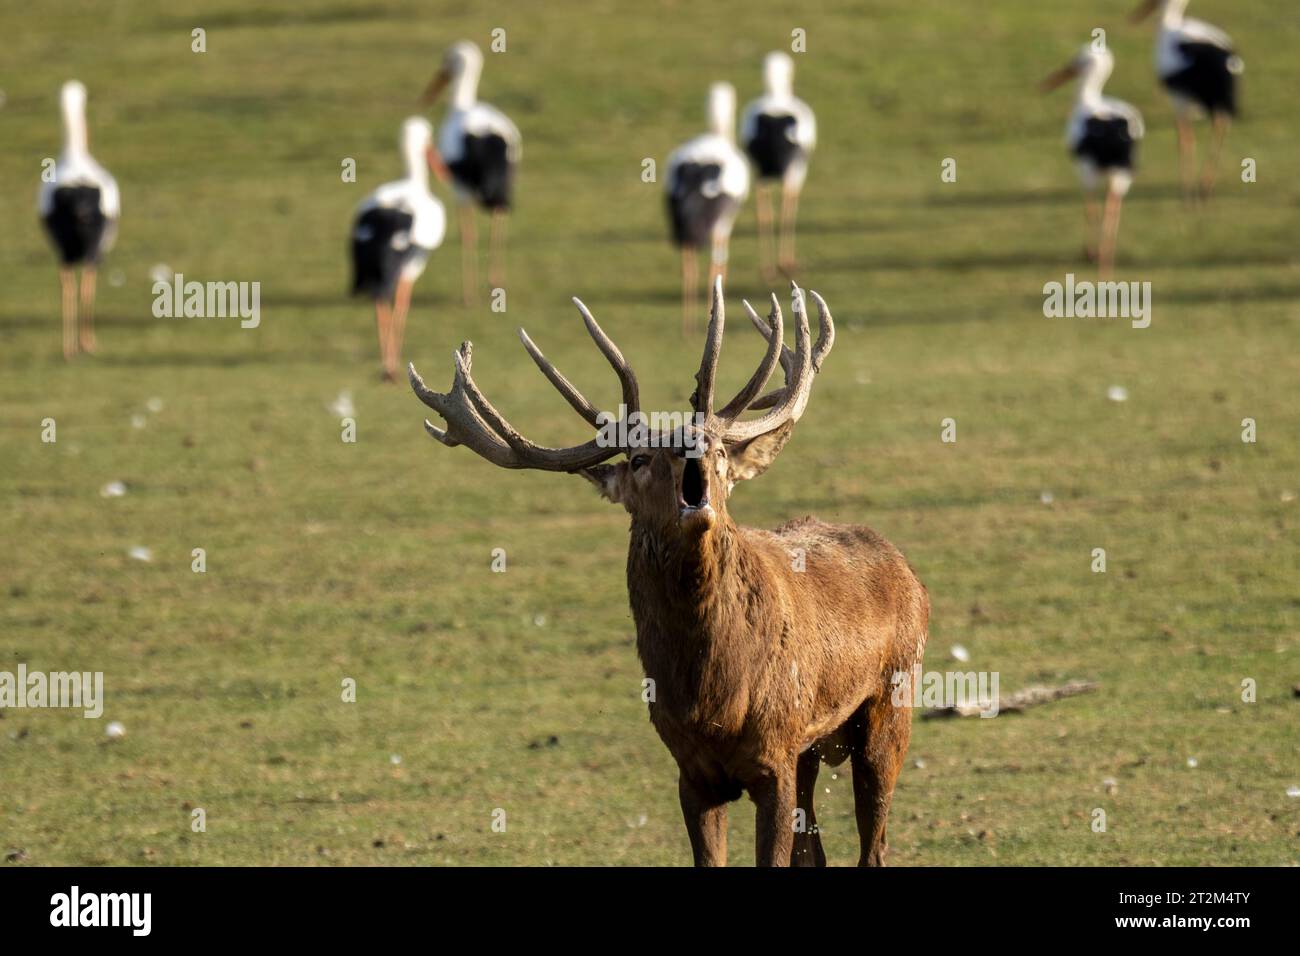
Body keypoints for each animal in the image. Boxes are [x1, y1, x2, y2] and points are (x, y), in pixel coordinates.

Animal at [408, 277, 929, 866]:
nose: (692, 446)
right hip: (814, 747)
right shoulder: (692, 770)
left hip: (891, 703)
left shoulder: (774, 750)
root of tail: (905, 567)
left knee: (874, 845)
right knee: (817, 850)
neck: (712, 697)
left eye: (722, 449)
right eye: (637, 459)